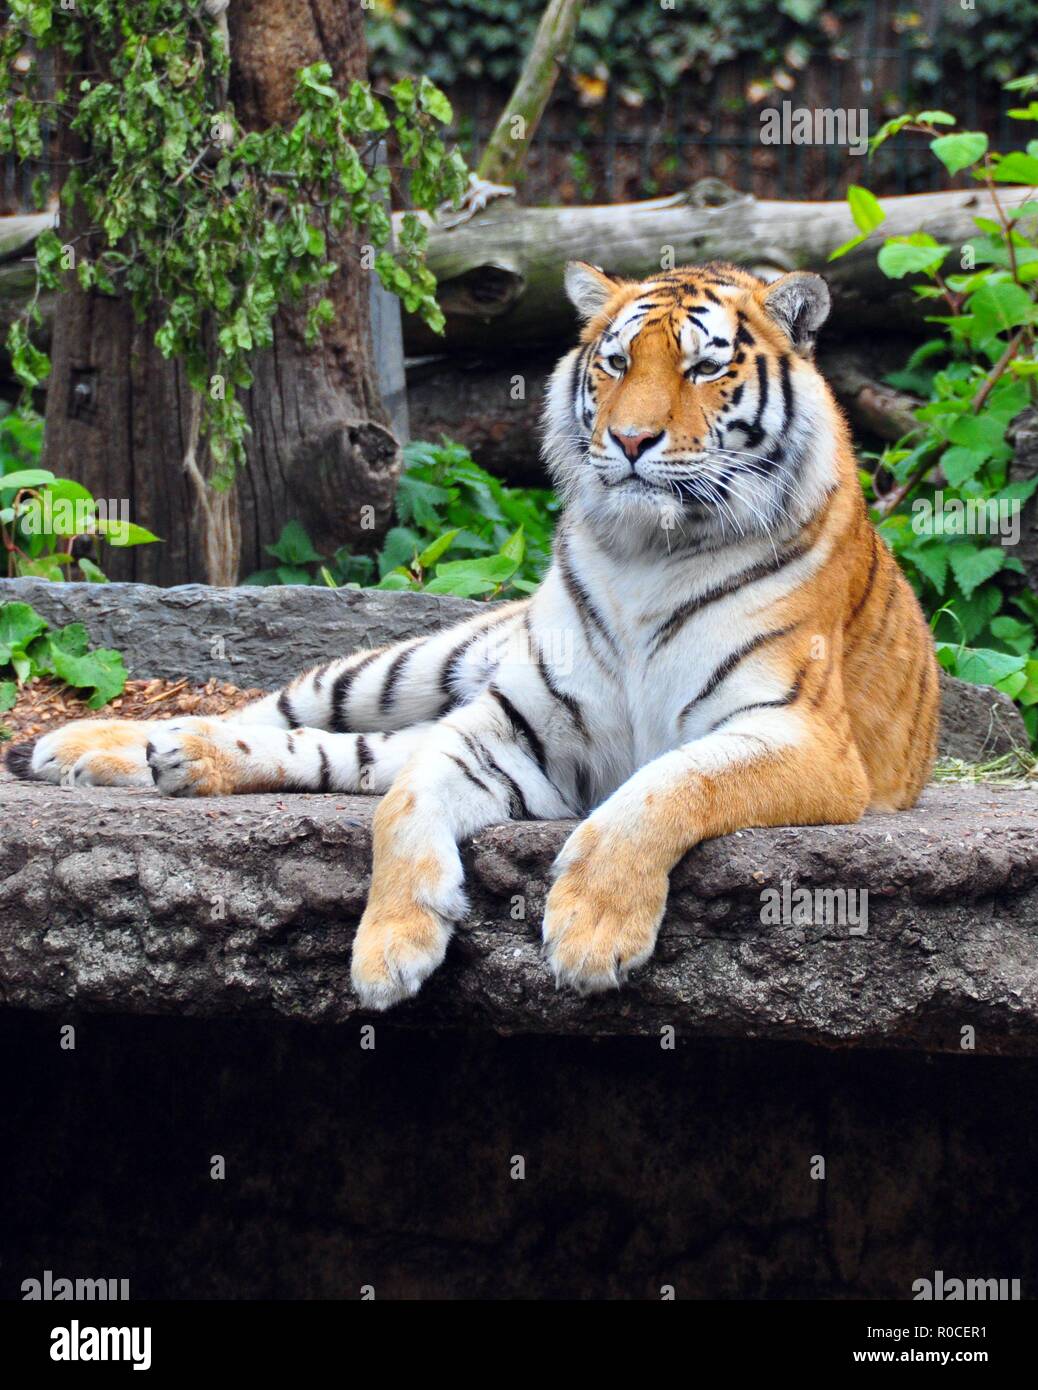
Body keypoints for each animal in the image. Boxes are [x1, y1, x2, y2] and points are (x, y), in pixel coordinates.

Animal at [5, 261, 940, 1010]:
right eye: (615, 362)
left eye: (704, 368)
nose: (631, 440)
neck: (648, 551)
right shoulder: (511, 726)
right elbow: (407, 802)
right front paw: (390, 946)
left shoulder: (800, 737)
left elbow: (669, 786)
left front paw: (591, 930)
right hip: (405, 666)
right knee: (280, 713)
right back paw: (96, 746)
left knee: (338, 754)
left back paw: (177, 760)